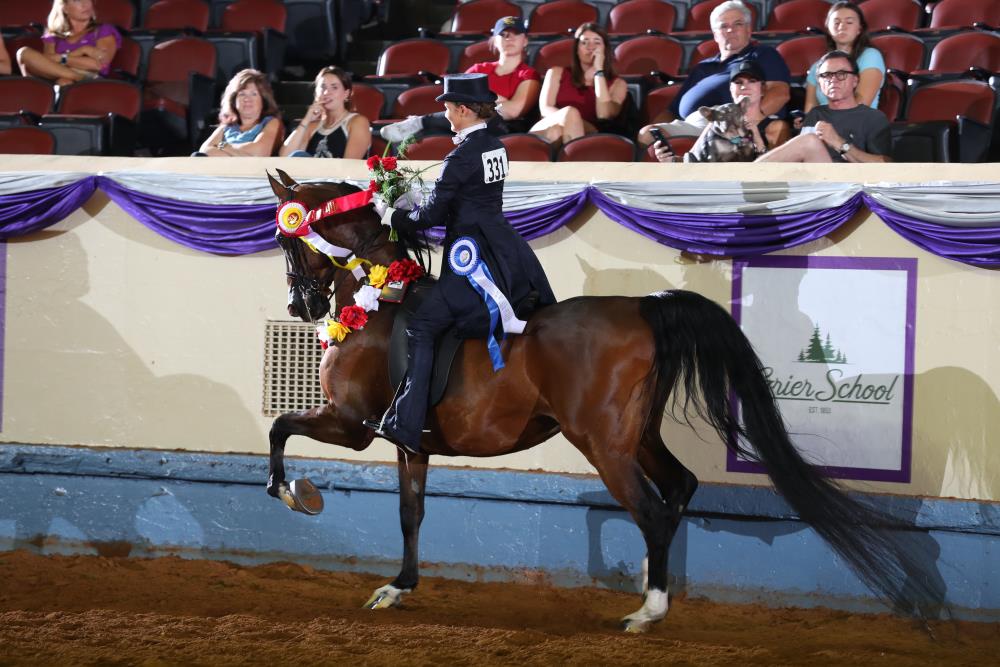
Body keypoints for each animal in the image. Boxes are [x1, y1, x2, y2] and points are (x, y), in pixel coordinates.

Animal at [265, 170, 934, 632]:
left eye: (286, 239)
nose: (301, 305)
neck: (381, 302)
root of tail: (644, 305)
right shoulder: (411, 444)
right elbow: (410, 513)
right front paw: (398, 588)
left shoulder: (351, 424)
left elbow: (279, 428)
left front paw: (293, 493)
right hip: (636, 434)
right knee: (678, 487)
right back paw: (649, 581)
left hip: (602, 443)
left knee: (653, 508)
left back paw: (649, 611)